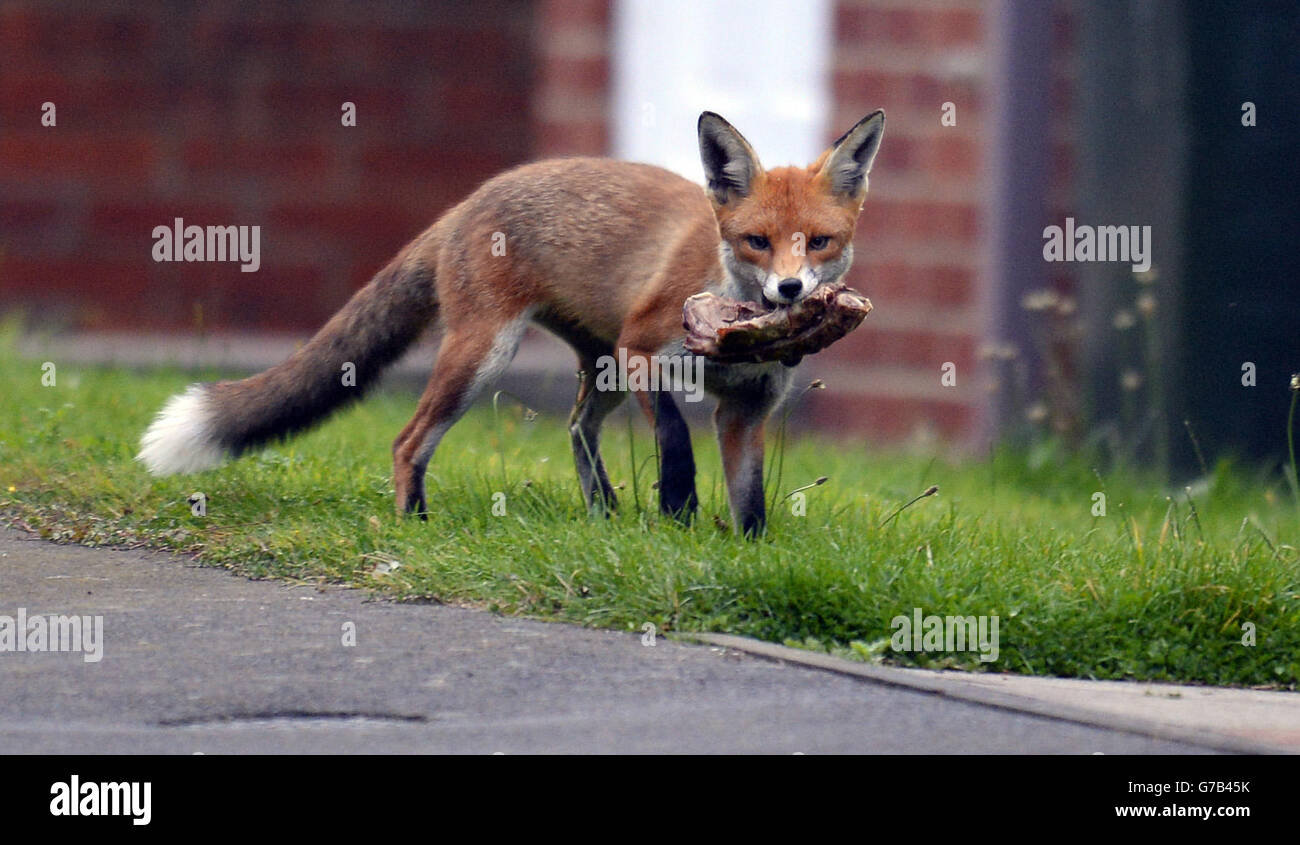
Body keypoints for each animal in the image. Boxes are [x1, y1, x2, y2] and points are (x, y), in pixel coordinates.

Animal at [138, 110, 885, 536]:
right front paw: (678, 507)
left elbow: (751, 498)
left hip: (598, 367)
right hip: (490, 353)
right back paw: (416, 525)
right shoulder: (643, 346)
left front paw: (745, 549)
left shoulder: (748, 407)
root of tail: (466, 202)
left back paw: (603, 515)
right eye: (756, 241)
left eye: (819, 242)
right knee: (408, 441)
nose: (789, 288)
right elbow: (675, 433)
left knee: (577, 427)